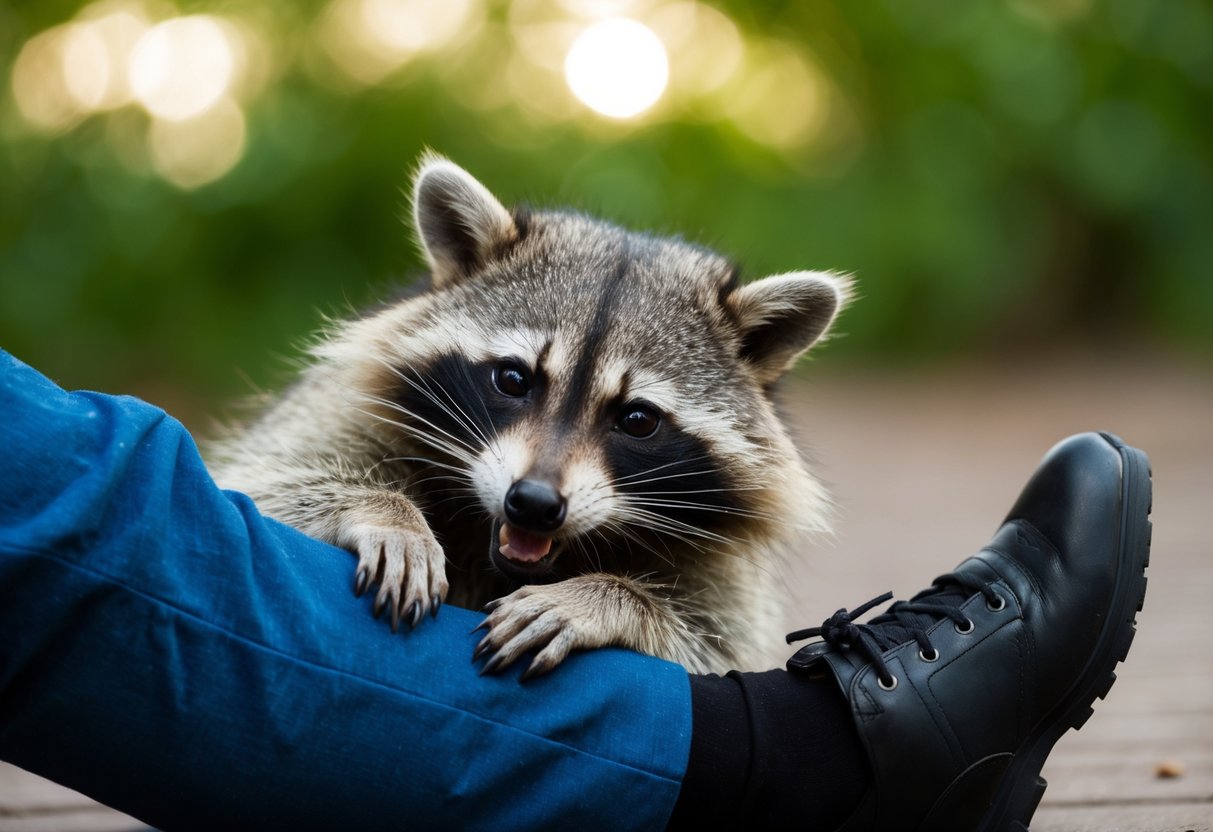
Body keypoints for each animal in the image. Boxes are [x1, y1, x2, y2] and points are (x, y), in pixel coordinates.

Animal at [207, 154, 848, 677]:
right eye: (514, 379)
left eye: (638, 419)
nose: (534, 504)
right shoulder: (344, 408)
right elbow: (265, 480)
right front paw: (385, 512)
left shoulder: (723, 572)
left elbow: (719, 643)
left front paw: (611, 600)